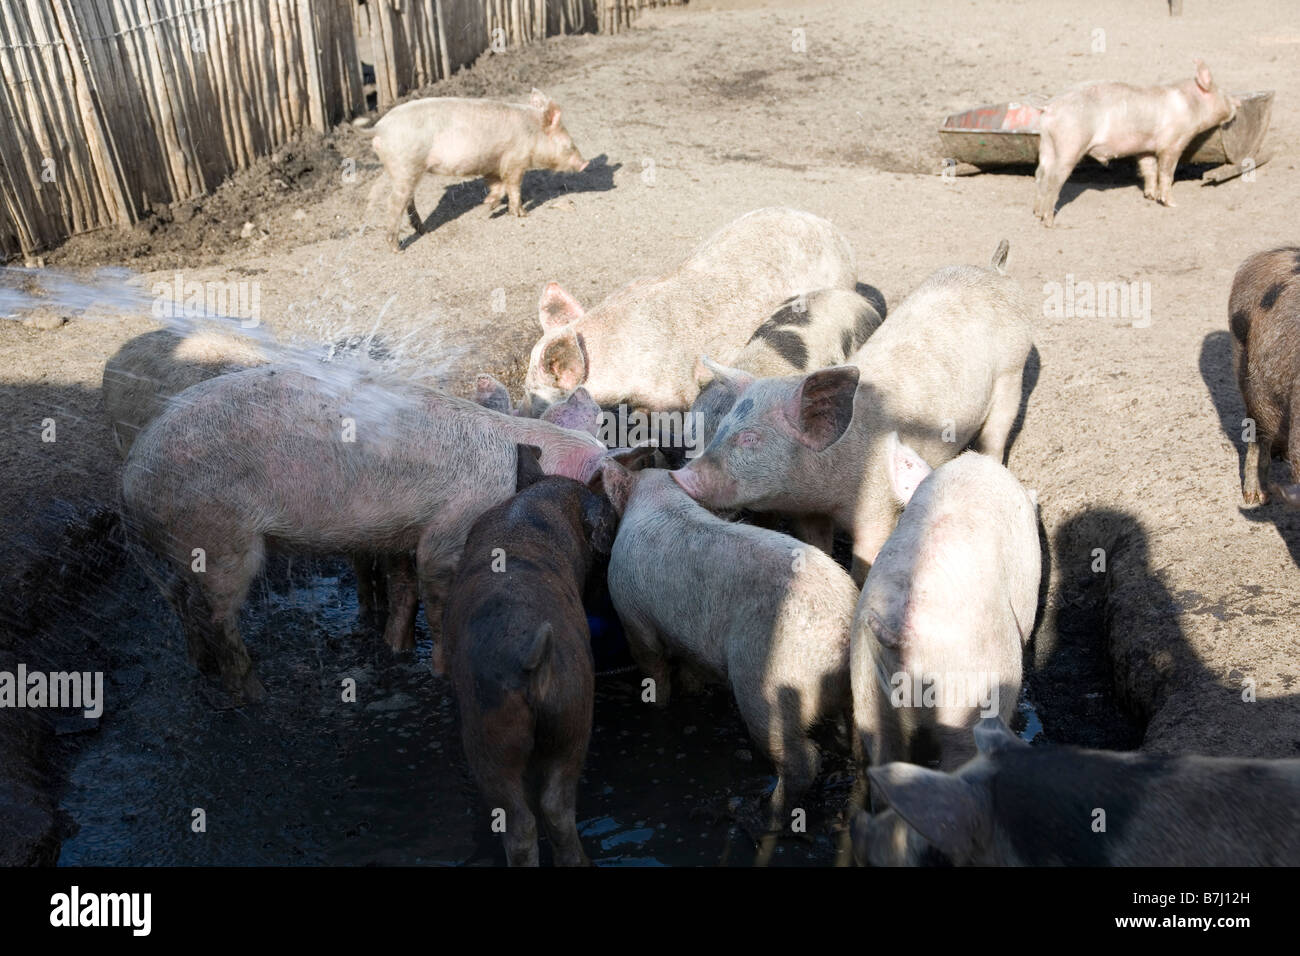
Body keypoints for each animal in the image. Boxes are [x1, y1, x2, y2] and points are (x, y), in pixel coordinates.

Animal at [121, 365, 617, 702]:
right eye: (599, 490)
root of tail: (129, 479)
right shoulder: (451, 528)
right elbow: (435, 592)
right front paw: (440, 672)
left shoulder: (399, 531)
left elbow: (403, 591)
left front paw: (396, 649)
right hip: (218, 537)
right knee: (219, 615)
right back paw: (256, 693)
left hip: (186, 546)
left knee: (184, 602)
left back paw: (201, 667)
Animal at [365, 89, 587, 251]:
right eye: (570, 144)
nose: (585, 163)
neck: (532, 132)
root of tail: (380, 128)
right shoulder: (516, 160)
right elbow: (513, 187)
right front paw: (521, 214)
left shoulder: (492, 164)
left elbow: (498, 186)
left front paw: (488, 206)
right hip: (405, 165)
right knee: (393, 203)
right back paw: (398, 248)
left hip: (405, 170)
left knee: (408, 201)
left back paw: (424, 230)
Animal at [442, 448, 619, 866]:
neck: (538, 502)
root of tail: (533, 669)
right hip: (573, 712)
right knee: (557, 810)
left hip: (489, 733)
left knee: (521, 822)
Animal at [599, 461, 858, 817]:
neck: (659, 499)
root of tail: (845, 634)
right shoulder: (691, 639)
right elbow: (691, 666)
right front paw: (691, 690)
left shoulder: (630, 612)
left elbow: (652, 665)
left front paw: (654, 705)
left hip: (769, 681)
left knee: (800, 758)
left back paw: (768, 810)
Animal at [1034, 60, 1239, 226]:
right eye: (1222, 92)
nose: (1237, 103)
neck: (1190, 105)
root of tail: (1051, 107)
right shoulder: (1173, 142)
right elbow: (1166, 172)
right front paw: (1172, 203)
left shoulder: (1146, 147)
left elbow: (1148, 169)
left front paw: (1151, 196)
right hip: (1069, 144)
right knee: (1054, 179)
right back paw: (1049, 222)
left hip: (1047, 143)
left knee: (1040, 173)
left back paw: (1036, 213)